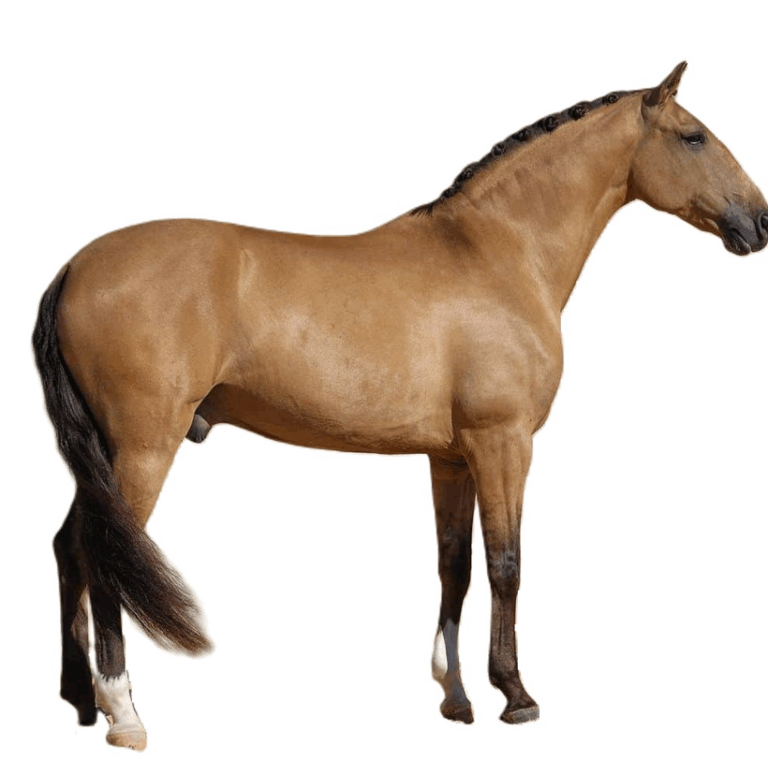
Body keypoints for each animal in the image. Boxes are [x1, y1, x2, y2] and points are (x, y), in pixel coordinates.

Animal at [33, 62, 767, 750]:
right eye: (694, 136)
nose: (759, 221)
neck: (496, 253)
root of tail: (75, 267)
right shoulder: (504, 441)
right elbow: (506, 563)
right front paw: (516, 694)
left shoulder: (452, 456)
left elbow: (455, 566)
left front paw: (456, 694)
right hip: (143, 447)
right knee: (103, 553)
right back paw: (125, 715)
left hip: (105, 454)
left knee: (70, 545)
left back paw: (80, 700)